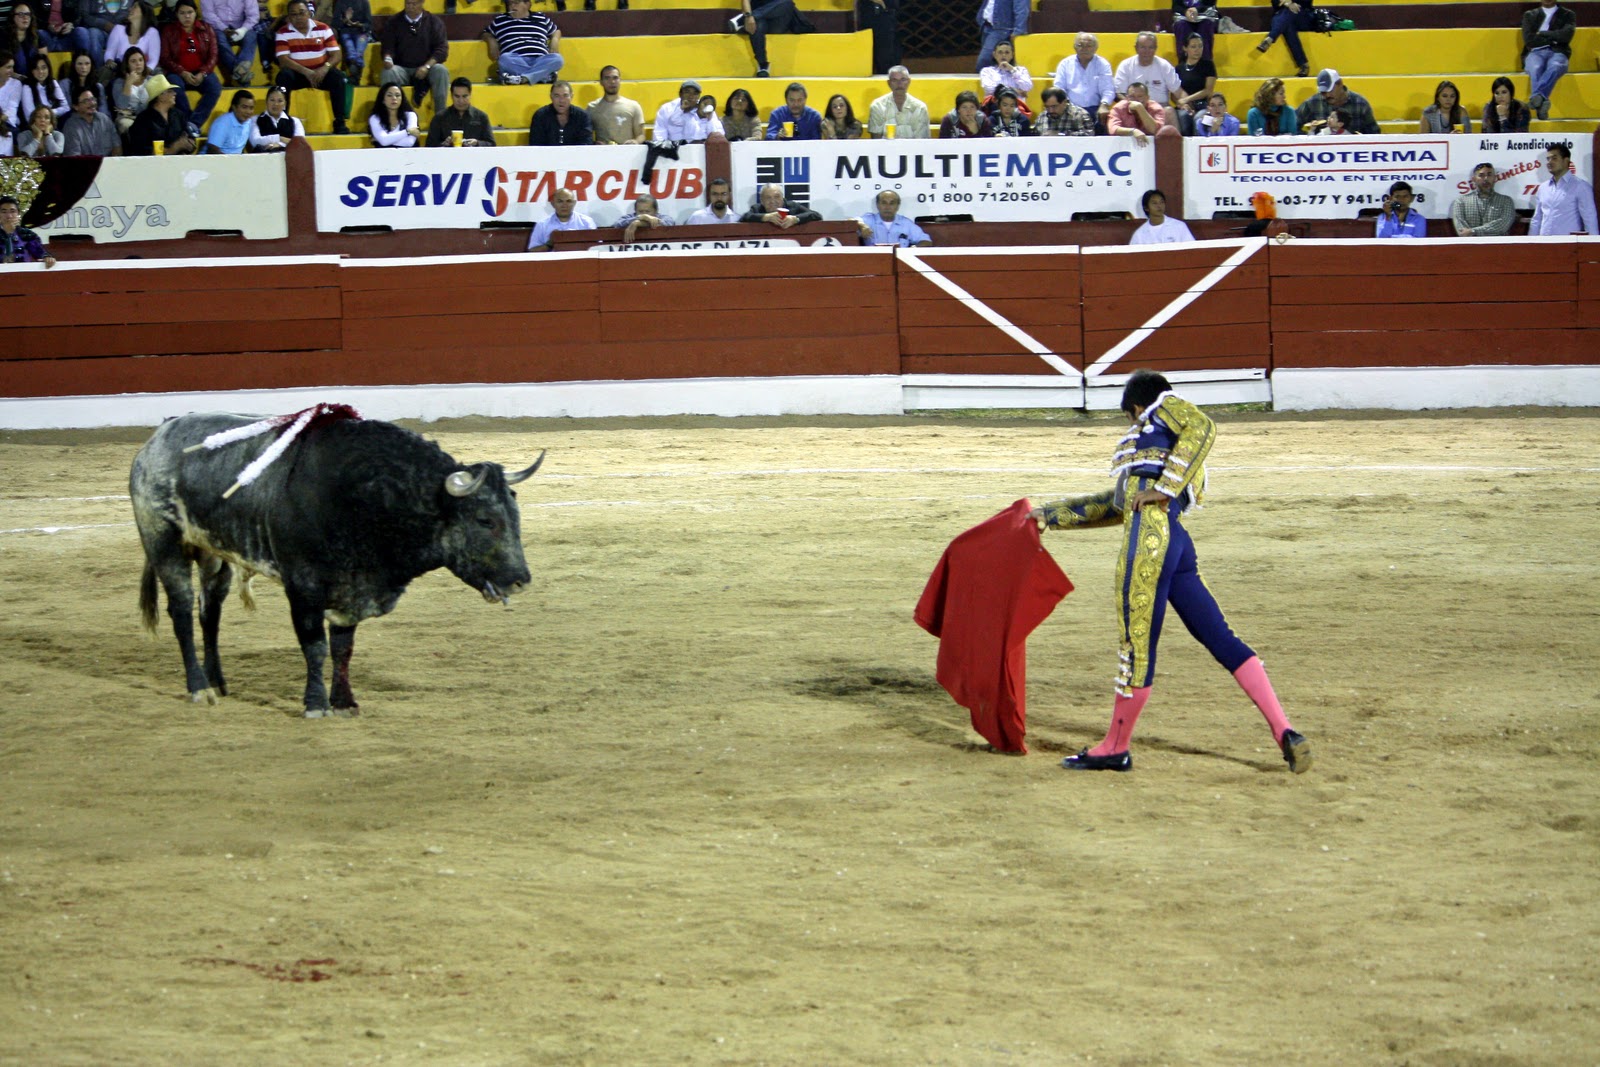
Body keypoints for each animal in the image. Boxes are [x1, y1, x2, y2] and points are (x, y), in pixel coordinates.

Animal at [130, 410, 544, 718]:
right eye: (485, 520)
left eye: (516, 515)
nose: (521, 580)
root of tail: (158, 438)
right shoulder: (303, 587)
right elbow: (314, 645)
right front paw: (315, 705)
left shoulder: (353, 587)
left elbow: (343, 648)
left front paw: (344, 702)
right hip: (164, 542)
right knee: (182, 612)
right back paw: (199, 688)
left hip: (214, 554)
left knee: (209, 612)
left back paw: (217, 681)